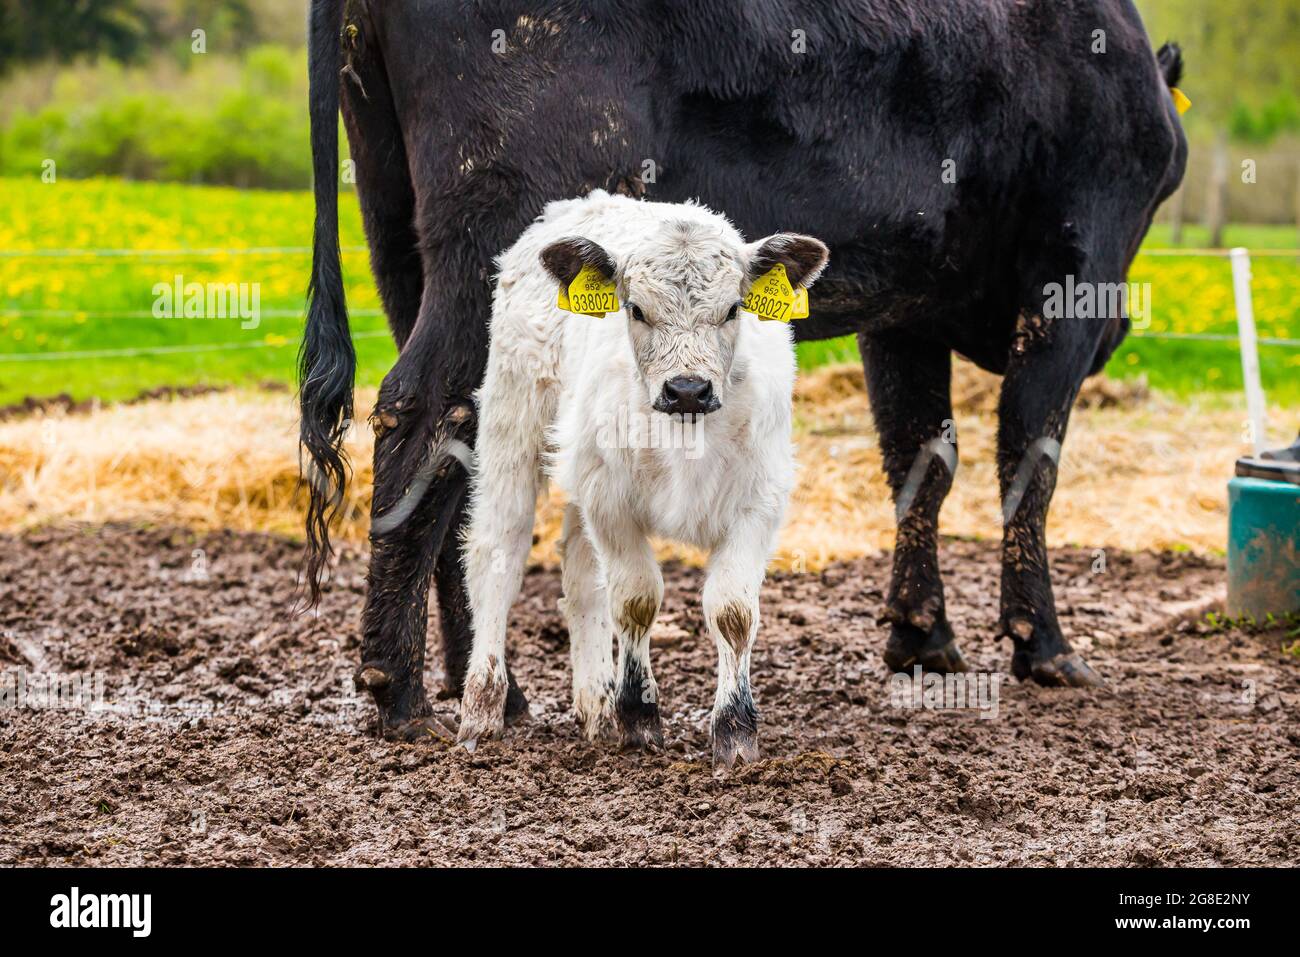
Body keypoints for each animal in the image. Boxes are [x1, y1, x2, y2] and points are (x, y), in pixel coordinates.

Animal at [454, 189, 828, 765]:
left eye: (732, 309)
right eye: (635, 309)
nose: (688, 389)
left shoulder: (757, 502)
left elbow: (733, 611)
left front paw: (735, 731)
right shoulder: (610, 502)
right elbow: (635, 599)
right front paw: (639, 717)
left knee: (579, 578)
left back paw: (595, 707)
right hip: (512, 424)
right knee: (497, 556)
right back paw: (482, 708)